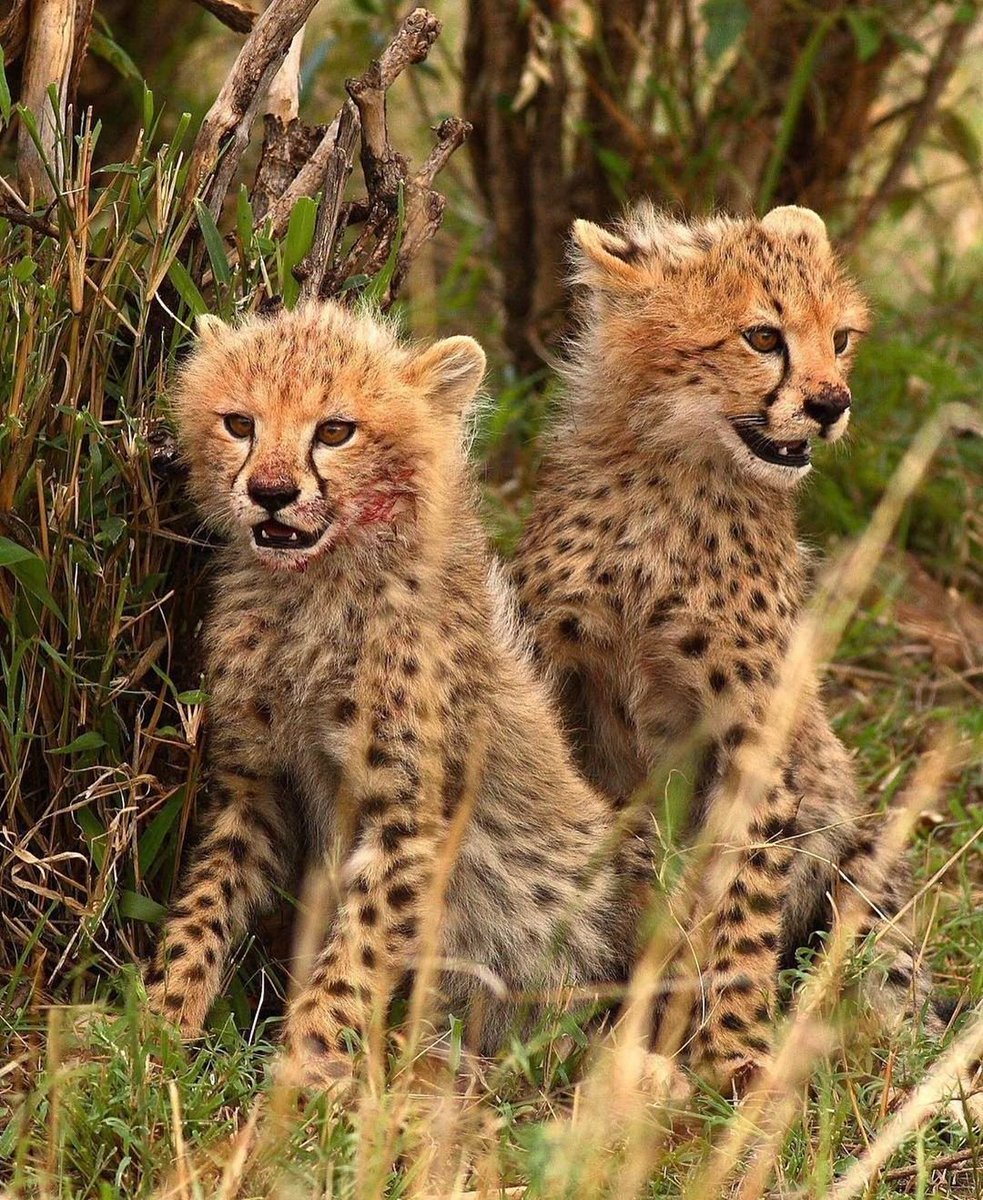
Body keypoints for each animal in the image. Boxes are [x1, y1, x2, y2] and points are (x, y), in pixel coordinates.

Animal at [145, 301, 649, 1086]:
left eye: (335, 431)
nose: (270, 493)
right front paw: (159, 1029)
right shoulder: (251, 784)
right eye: (238, 423)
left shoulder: (408, 817)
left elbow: (353, 957)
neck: (315, 588)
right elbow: (204, 906)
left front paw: (301, 1074)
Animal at [512, 204, 948, 1094]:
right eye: (762, 336)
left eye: (839, 338)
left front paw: (733, 1061)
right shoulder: (553, 674)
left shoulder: (754, 729)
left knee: (887, 978)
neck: (677, 474)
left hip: (861, 858)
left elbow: (740, 902)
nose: (830, 403)